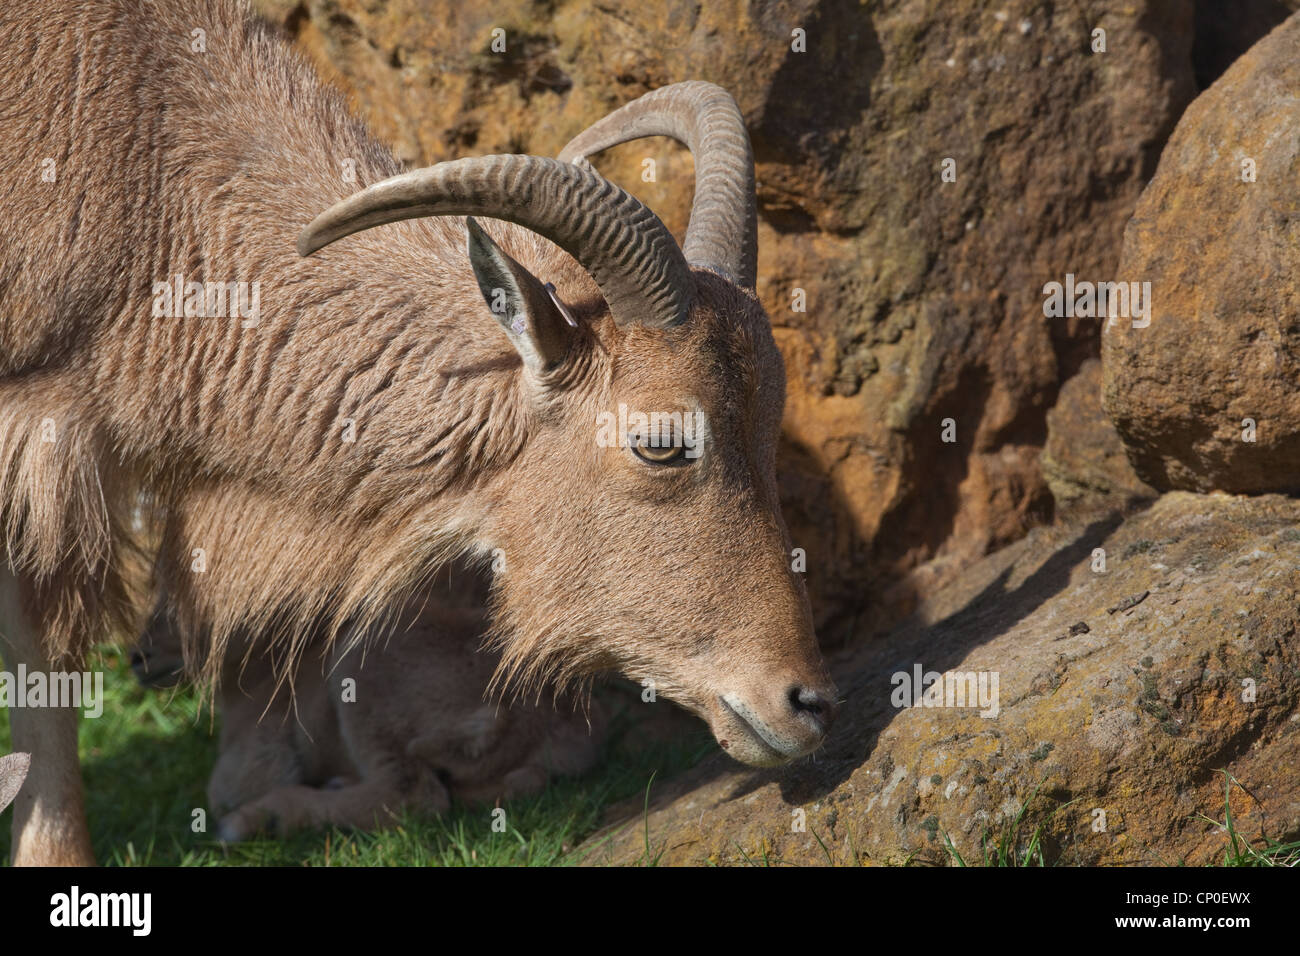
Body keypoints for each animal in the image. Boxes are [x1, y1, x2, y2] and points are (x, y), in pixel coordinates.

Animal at [134, 591, 604, 841]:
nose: (139, 657)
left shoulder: (258, 758)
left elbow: (221, 792)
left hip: (362, 672)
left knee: (414, 798)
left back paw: (265, 818)